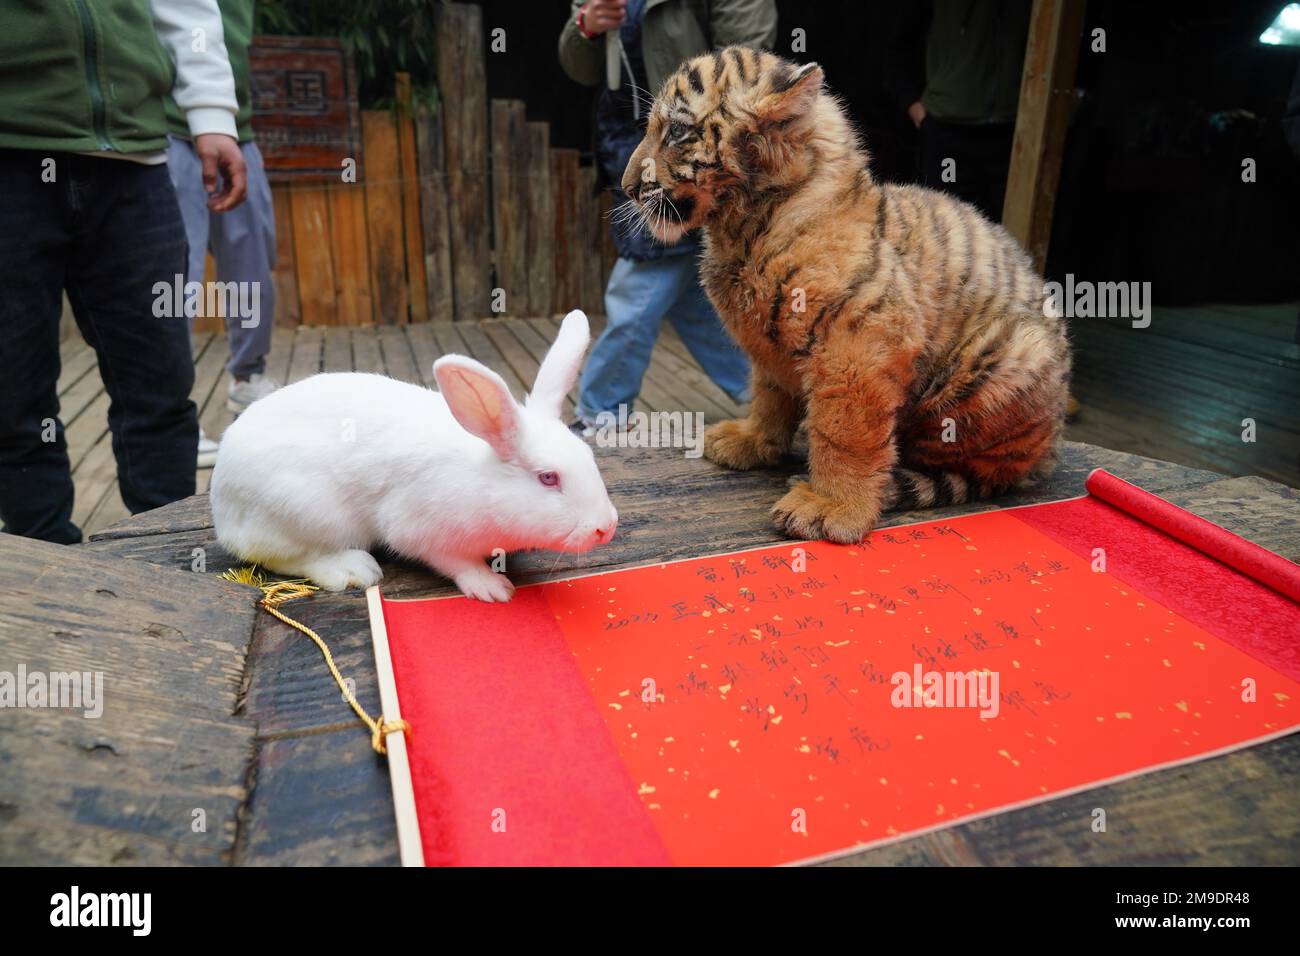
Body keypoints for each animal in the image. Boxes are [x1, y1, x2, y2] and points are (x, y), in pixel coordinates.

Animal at [209, 310, 618, 601]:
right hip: (308, 511)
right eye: (548, 478)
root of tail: (221, 505)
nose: (607, 527)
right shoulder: (420, 529)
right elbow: (453, 561)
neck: (483, 481)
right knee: (283, 556)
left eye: (588, 457)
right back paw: (354, 569)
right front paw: (491, 586)